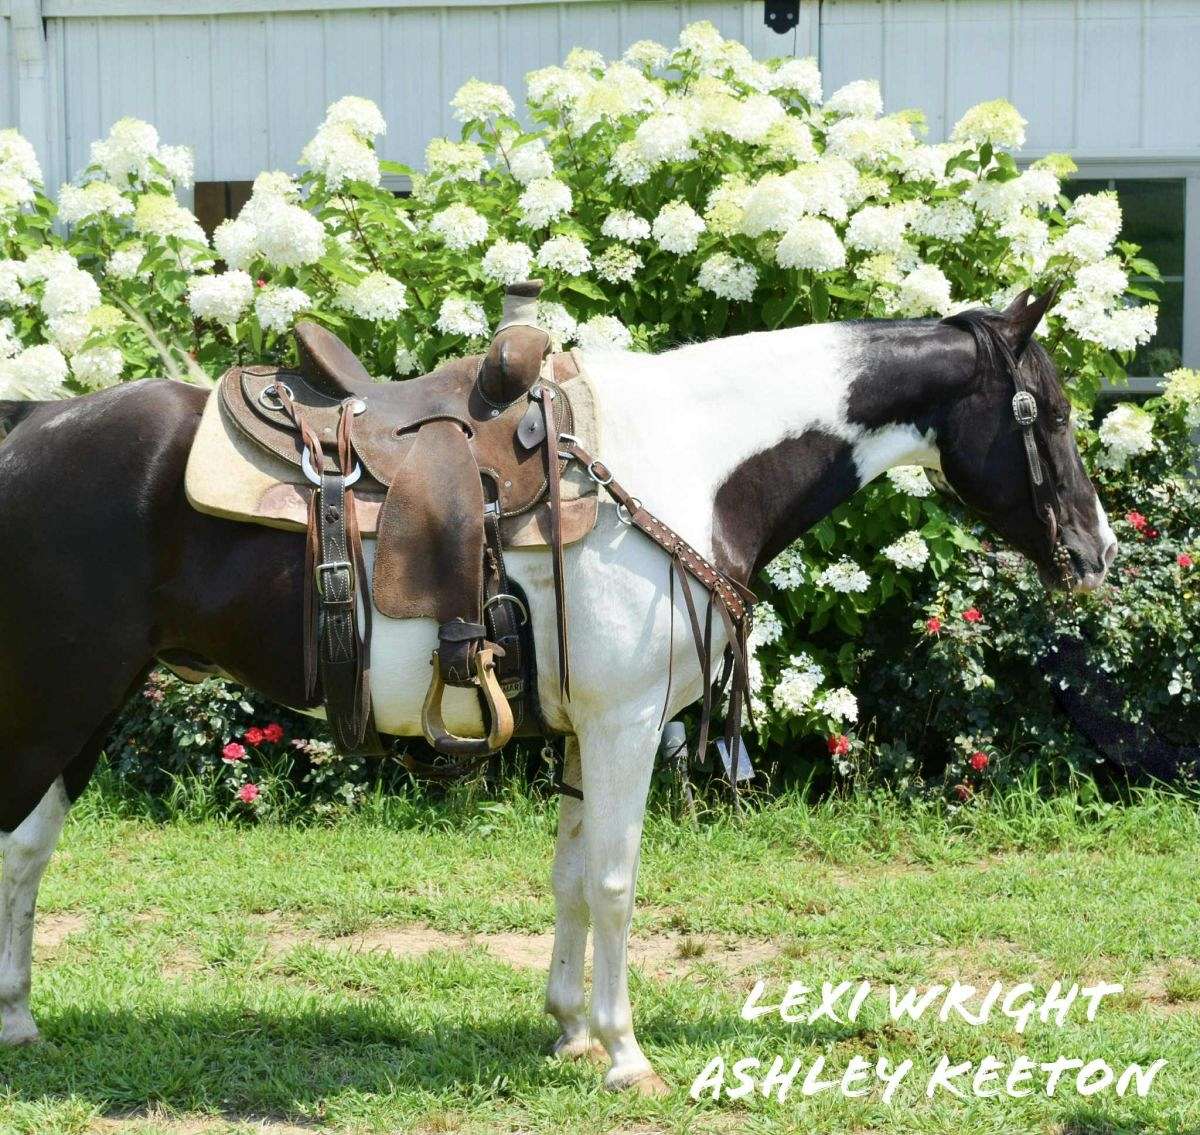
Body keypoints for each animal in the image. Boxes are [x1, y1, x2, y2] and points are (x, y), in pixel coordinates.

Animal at [0, 290, 1116, 1093]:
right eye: (1049, 413)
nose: (1096, 552)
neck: (687, 462)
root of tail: (27, 427)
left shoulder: (590, 727)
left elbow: (572, 876)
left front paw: (571, 1029)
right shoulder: (624, 724)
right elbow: (618, 881)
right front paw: (625, 1053)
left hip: (91, 705)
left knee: (27, 850)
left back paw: (20, 1018)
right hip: (58, 693)